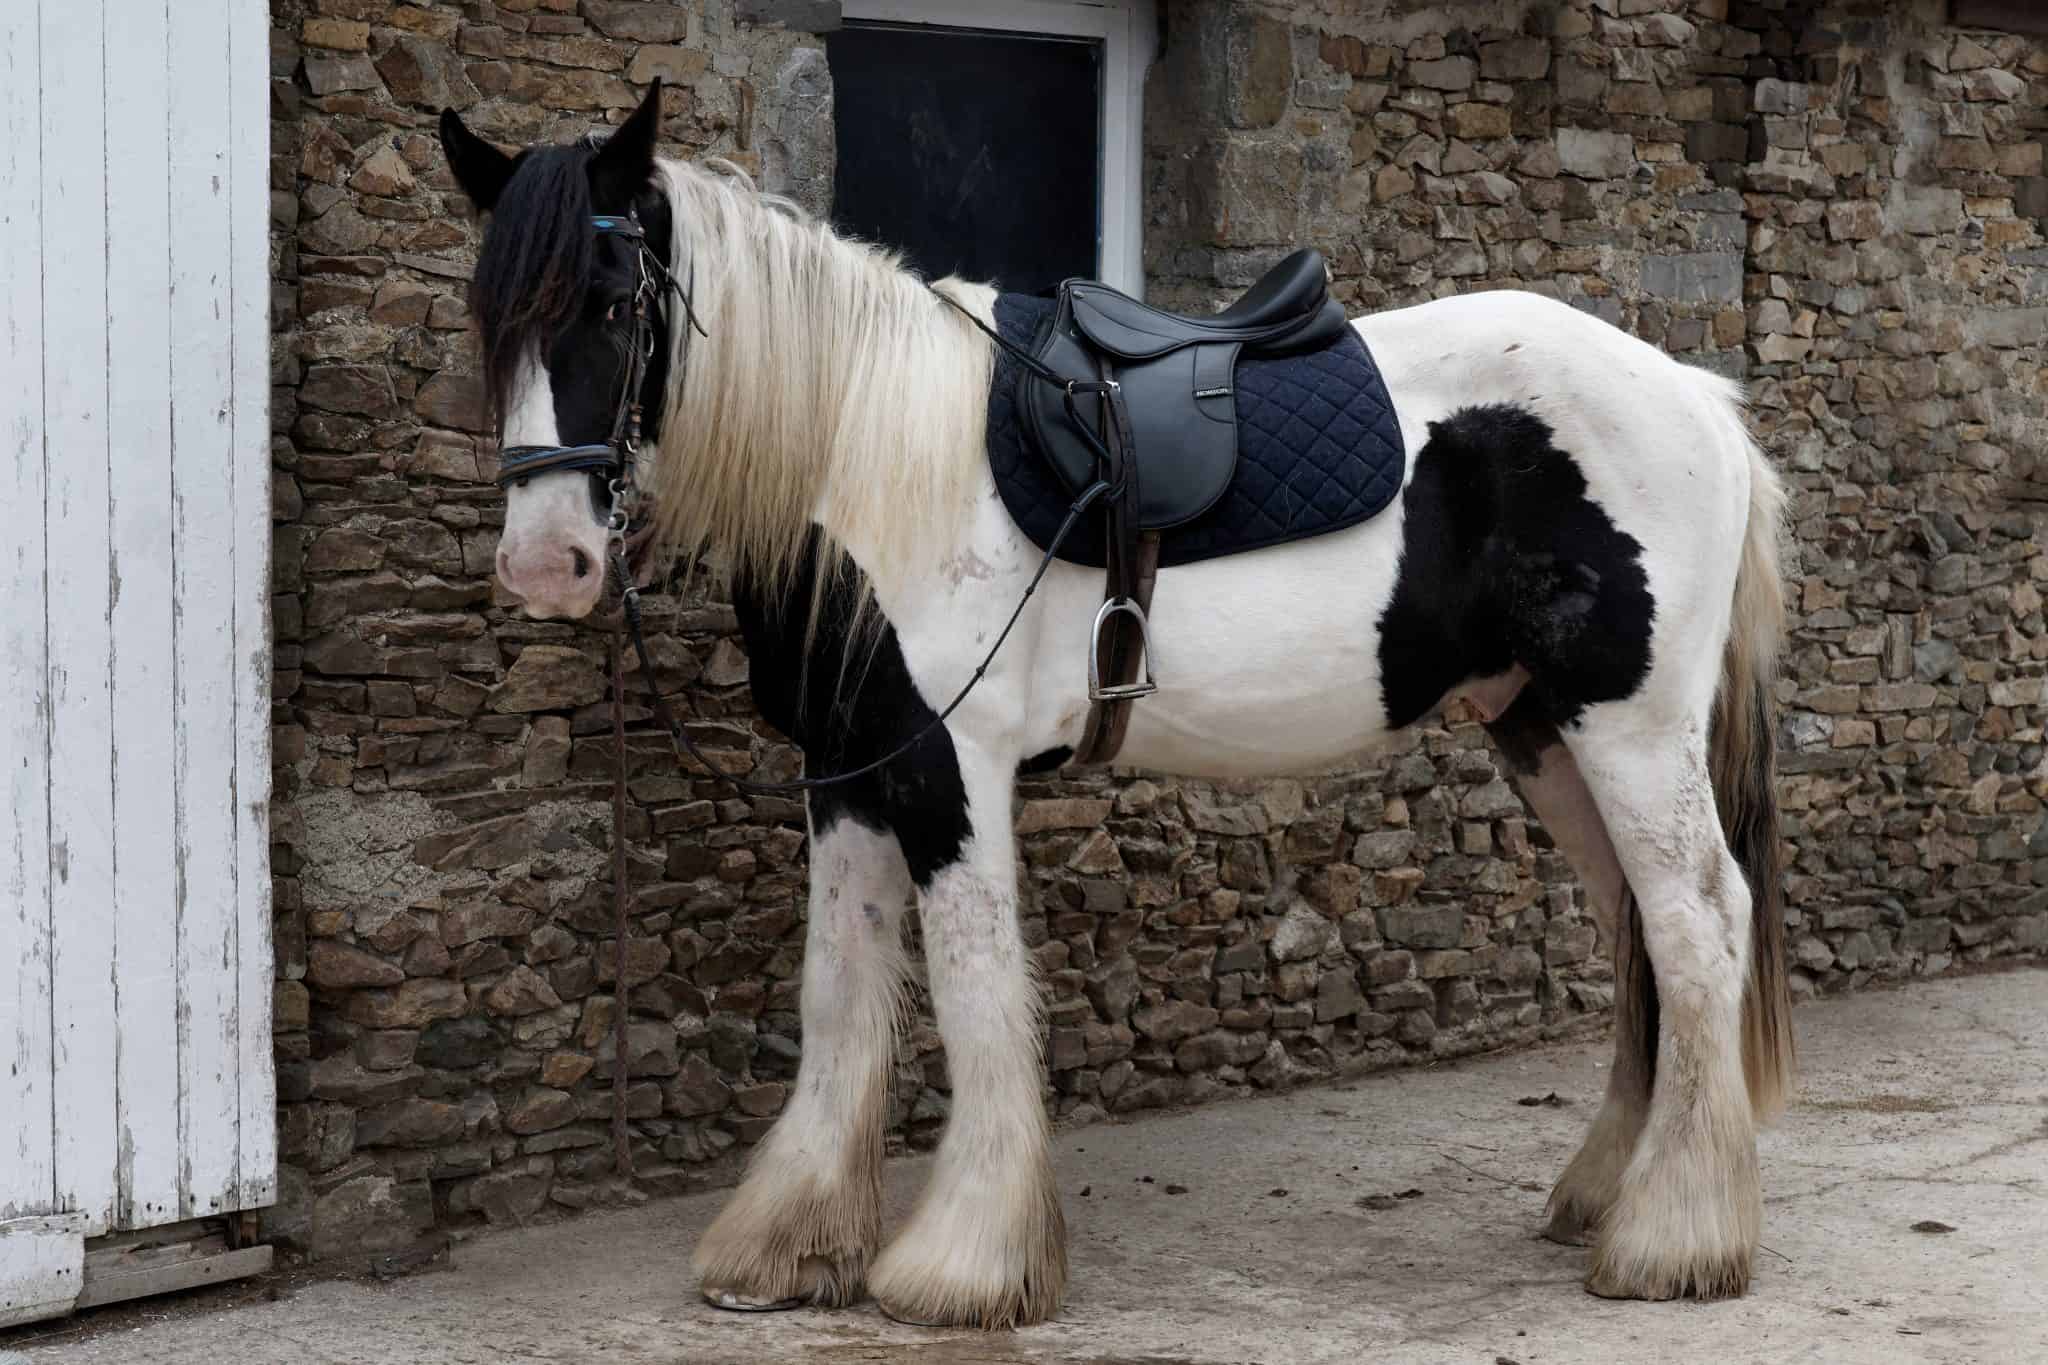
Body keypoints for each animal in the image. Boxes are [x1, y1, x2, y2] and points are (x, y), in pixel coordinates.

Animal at [436, 83, 1795, 1329]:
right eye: (490, 316)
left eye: (616, 303)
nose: (547, 564)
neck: (867, 450)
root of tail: (1695, 397)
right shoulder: (846, 771)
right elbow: (840, 989)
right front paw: (788, 1244)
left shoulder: (948, 761)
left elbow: (975, 985)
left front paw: (965, 1265)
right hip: (1543, 730)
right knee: (1640, 927)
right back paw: (1608, 1193)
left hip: (1630, 730)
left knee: (1695, 922)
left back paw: (1671, 1239)